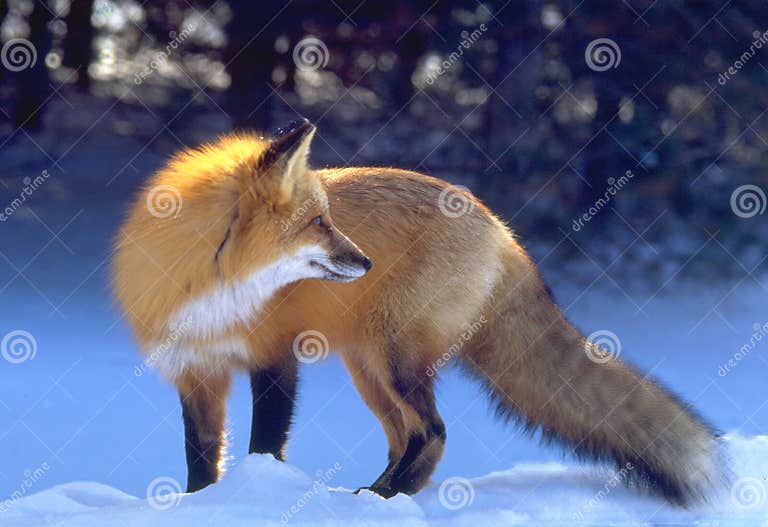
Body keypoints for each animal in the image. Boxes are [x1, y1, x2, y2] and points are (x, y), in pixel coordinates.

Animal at [112, 118, 724, 505]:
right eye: (318, 223)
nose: (365, 260)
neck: (214, 290)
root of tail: (503, 231)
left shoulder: (275, 358)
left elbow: (264, 446)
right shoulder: (195, 369)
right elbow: (199, 459)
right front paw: (200, 504)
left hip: (394, 357)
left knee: (433, 432)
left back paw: (386, 497)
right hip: (369, 368)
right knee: (404, 436)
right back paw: (378, 494)